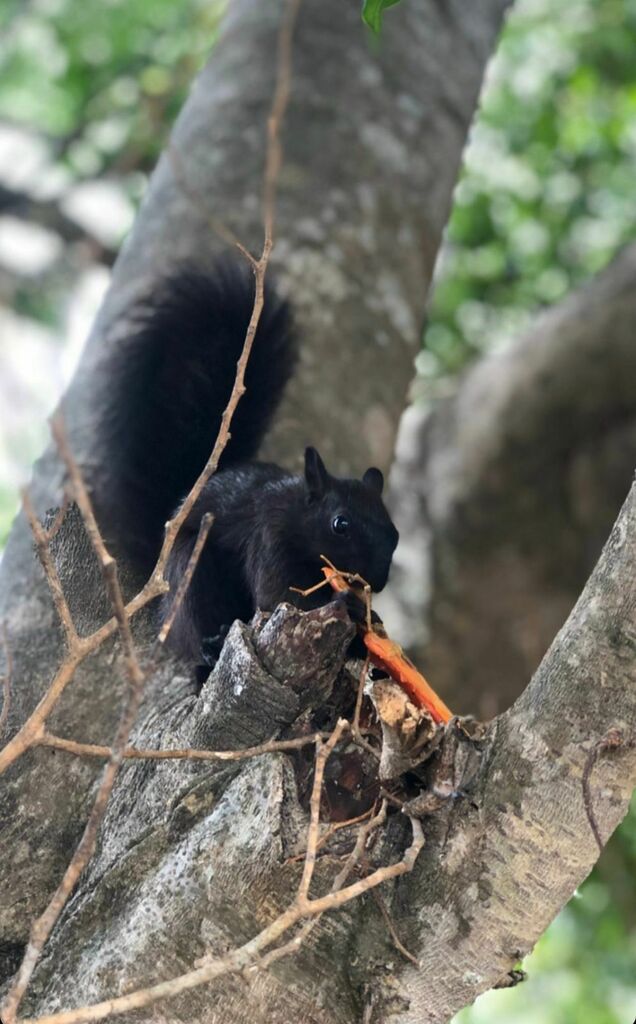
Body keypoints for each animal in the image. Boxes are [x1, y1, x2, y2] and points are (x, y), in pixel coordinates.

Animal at [96, 258, 399, 670]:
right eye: (340, 524)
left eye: (395, 535)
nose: (377, 582)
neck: (296, 511)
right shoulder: (268, 537)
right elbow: (280, 597)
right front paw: (349, 606)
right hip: (190, 575)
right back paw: (209, 645)